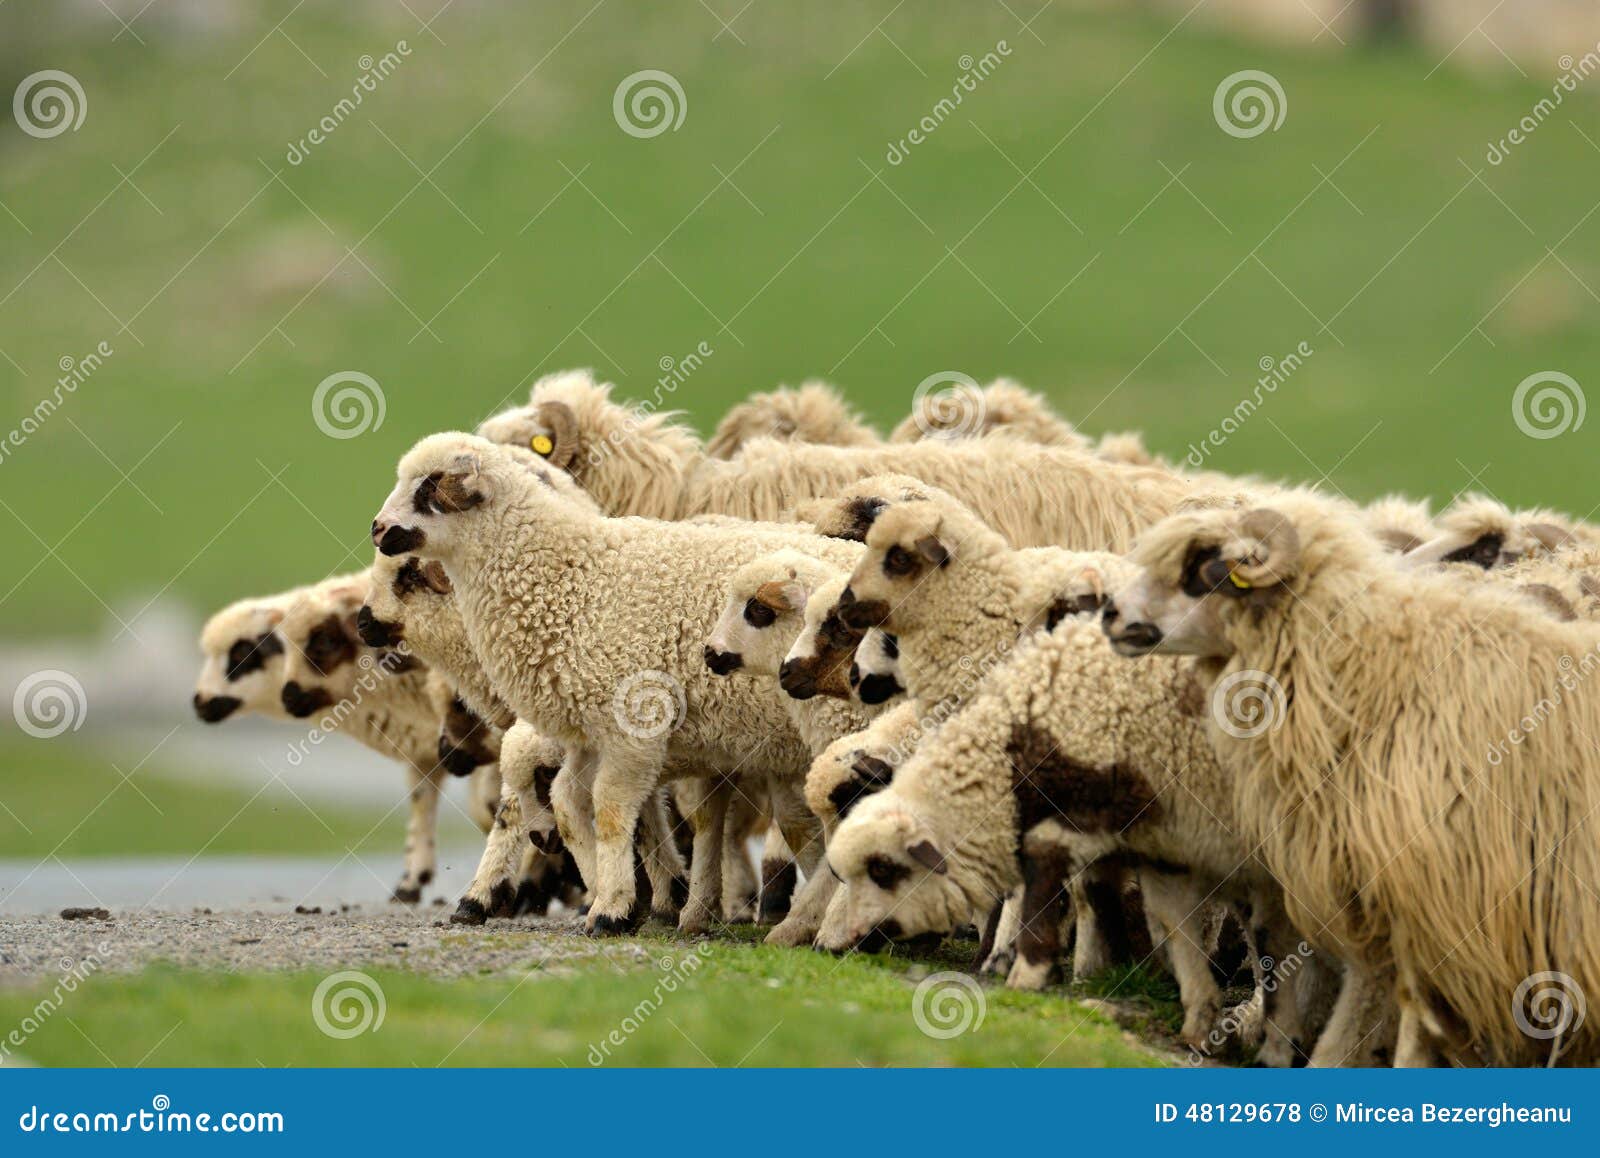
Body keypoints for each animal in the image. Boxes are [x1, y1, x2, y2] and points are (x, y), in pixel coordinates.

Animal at [369, 433, 863, 935]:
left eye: (430, 487)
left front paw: (612, 908)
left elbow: (608, 810)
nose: (377, 528)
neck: (569, 578)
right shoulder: (589, 733)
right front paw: (618, 897)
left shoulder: (635, 729)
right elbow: (569, 805)